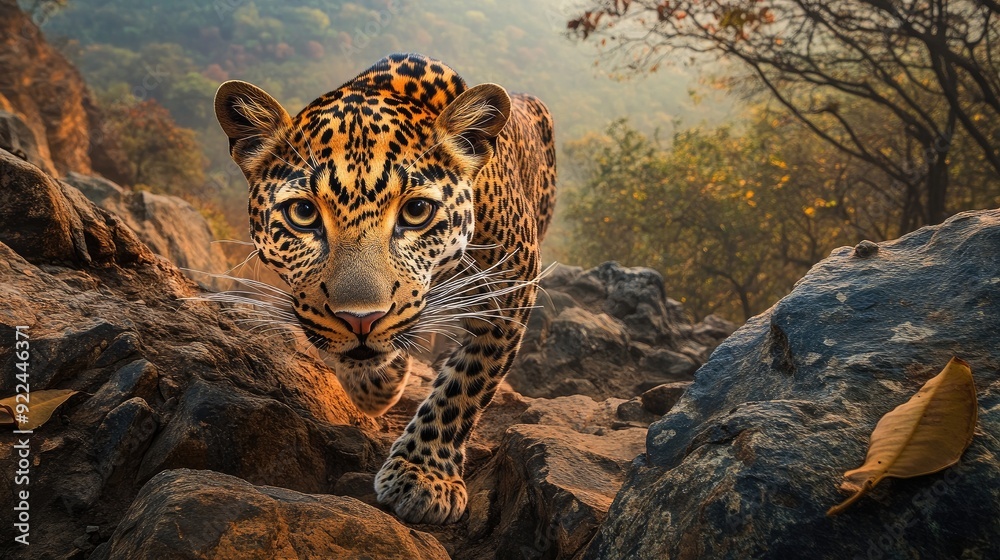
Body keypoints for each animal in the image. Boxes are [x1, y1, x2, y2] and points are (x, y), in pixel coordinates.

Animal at [213, 53, 556, 524]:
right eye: (303, 213)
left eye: (417, 211)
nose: (361, 320)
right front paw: (374, 388)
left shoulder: (511, 287)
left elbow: (467, 382)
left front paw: (423, 477)